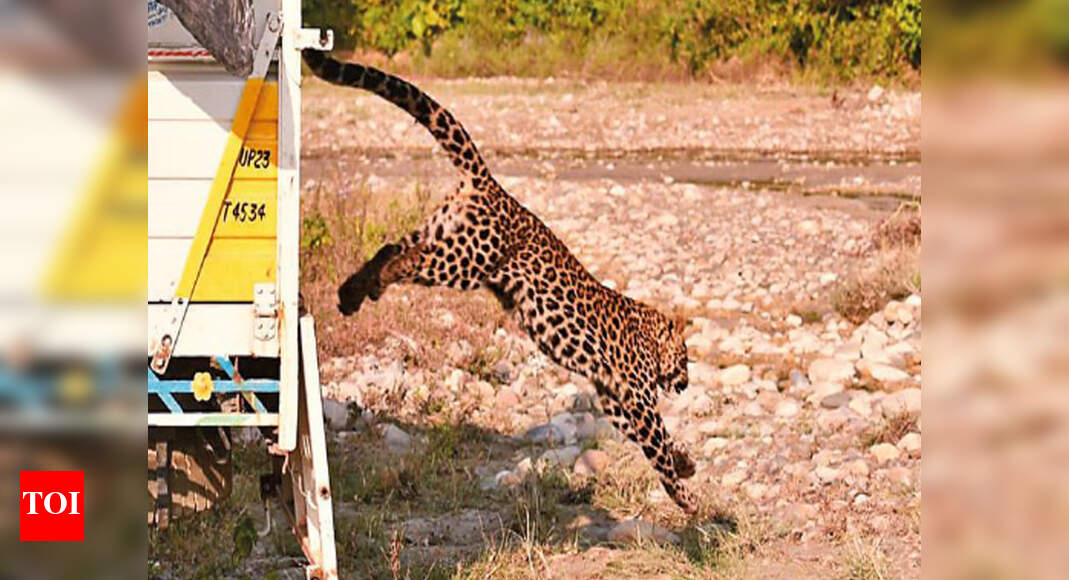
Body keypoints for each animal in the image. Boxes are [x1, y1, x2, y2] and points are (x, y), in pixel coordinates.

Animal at [303, 50, 699, 514]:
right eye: (685, 356)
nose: (686, 383)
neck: (649, 336)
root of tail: (491, 185)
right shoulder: (634, 397)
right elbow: (657, 442)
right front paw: (687, 497)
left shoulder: (614, 398)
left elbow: (658, 441)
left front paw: (686, 464)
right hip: (468, 258)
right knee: (408, 258)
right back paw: (377, 283)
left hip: (442, 231)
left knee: (389, 246)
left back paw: (354, 292)